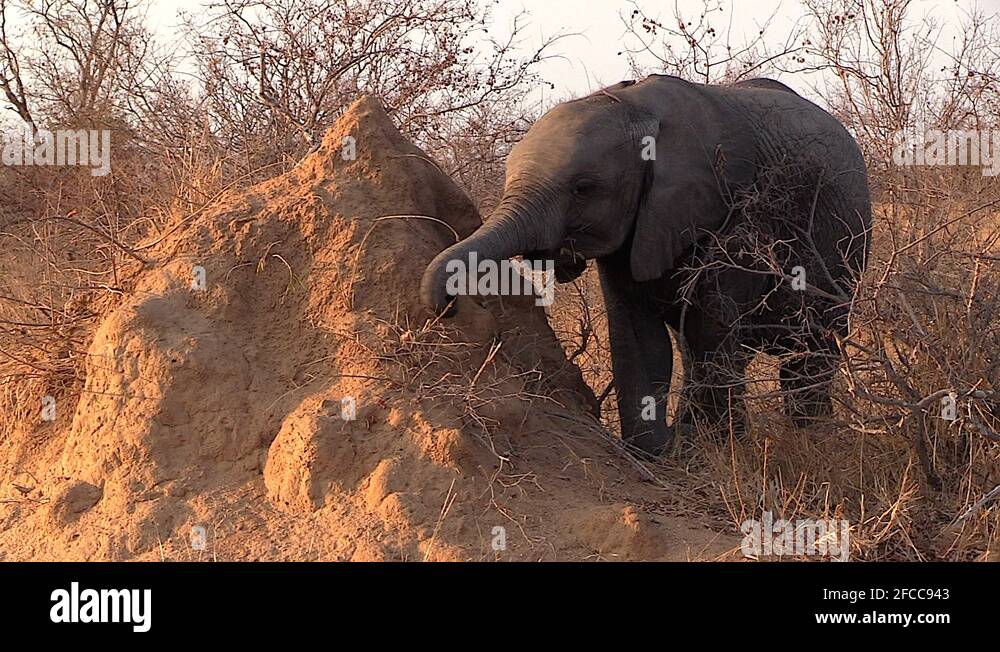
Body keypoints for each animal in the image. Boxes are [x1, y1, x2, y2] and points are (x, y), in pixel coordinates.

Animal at [421, 74, 871, 454]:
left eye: (583, 188)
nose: (449, 307)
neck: (635, 107)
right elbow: (638, 336)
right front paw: (656, 455)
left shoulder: (737, 212)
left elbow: (712, 330)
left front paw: (706, 455)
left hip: (843, 251)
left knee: (810, 349)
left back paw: (813, 440)